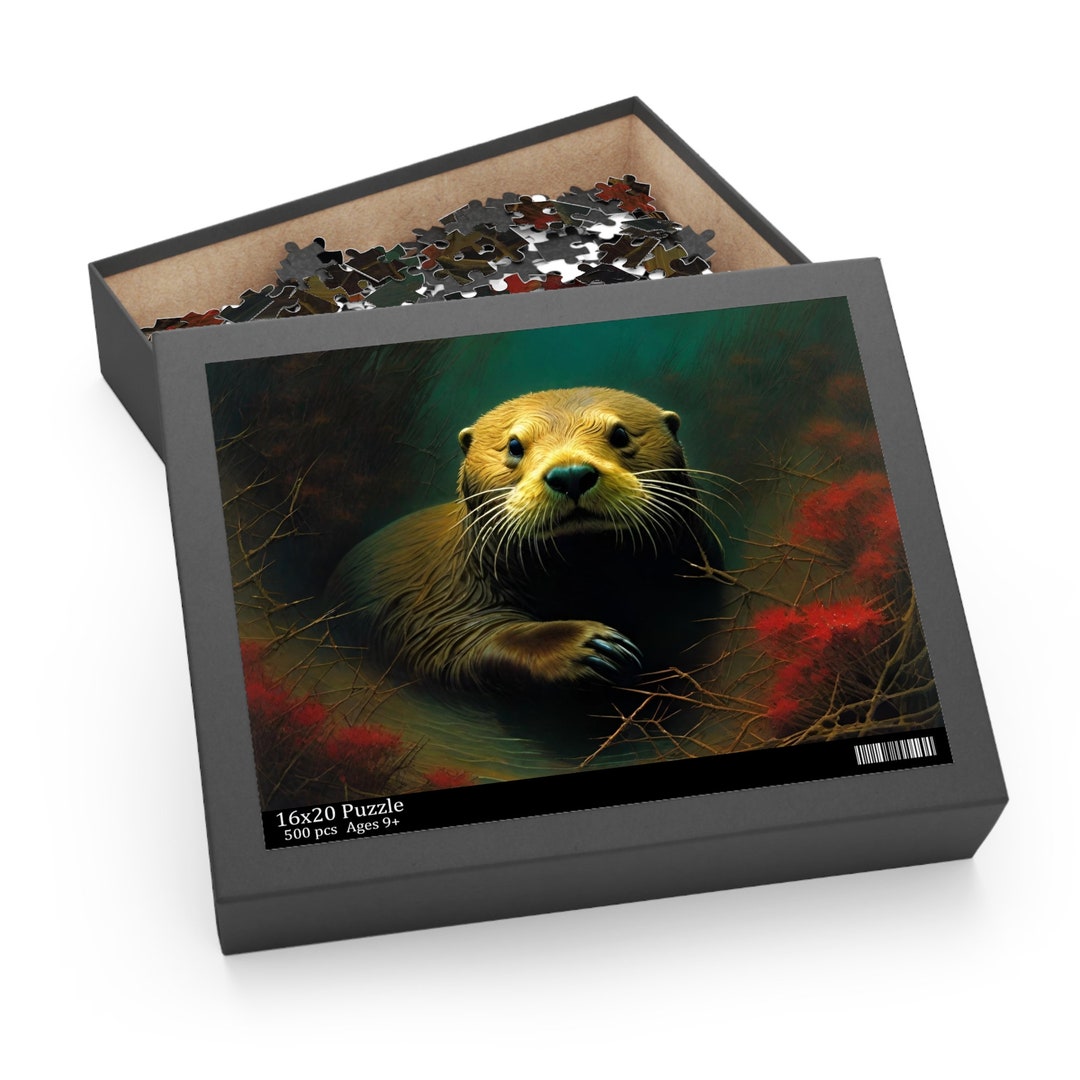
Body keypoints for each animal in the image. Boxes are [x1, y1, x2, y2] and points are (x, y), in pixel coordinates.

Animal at [326, 387, 725, 693]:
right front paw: (585, 646)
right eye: (515, 445)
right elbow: (458, 640)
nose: (571, 473)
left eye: (620, 435)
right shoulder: (431, 606)